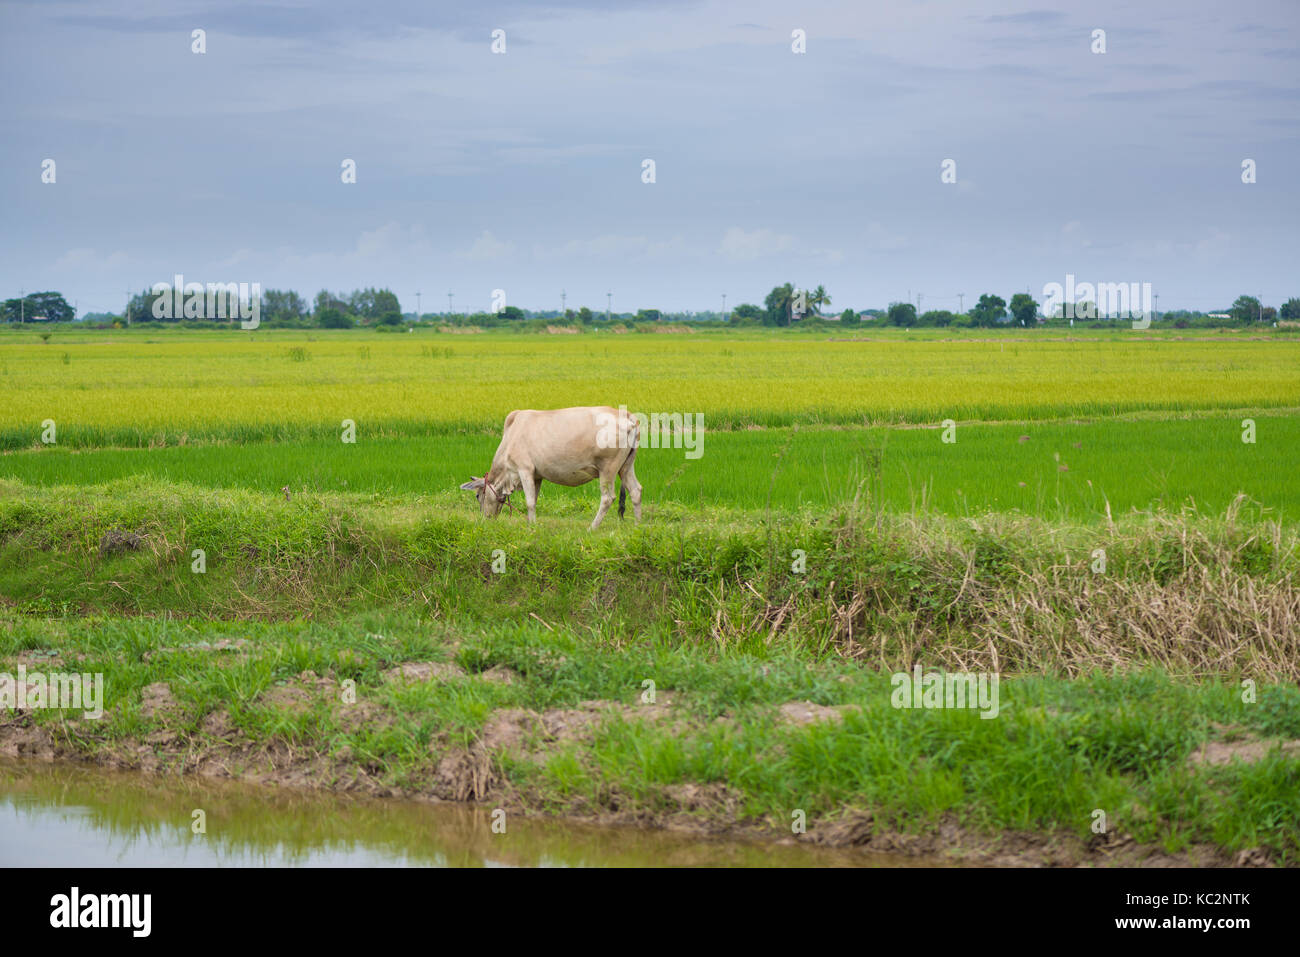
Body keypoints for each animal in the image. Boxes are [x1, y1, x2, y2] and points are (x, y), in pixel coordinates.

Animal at [460, 406, 643, 530]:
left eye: (477, 495)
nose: (486, 519)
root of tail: (628, 416)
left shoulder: (524, 469)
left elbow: (529, 502)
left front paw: (532, 526)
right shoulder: (537, 476)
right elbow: (534, 499)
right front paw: (530, 523)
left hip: (608, 469)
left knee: (607, 498)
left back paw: (592, 528)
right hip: (626, 467)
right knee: (635, 490)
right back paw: (637, 526)